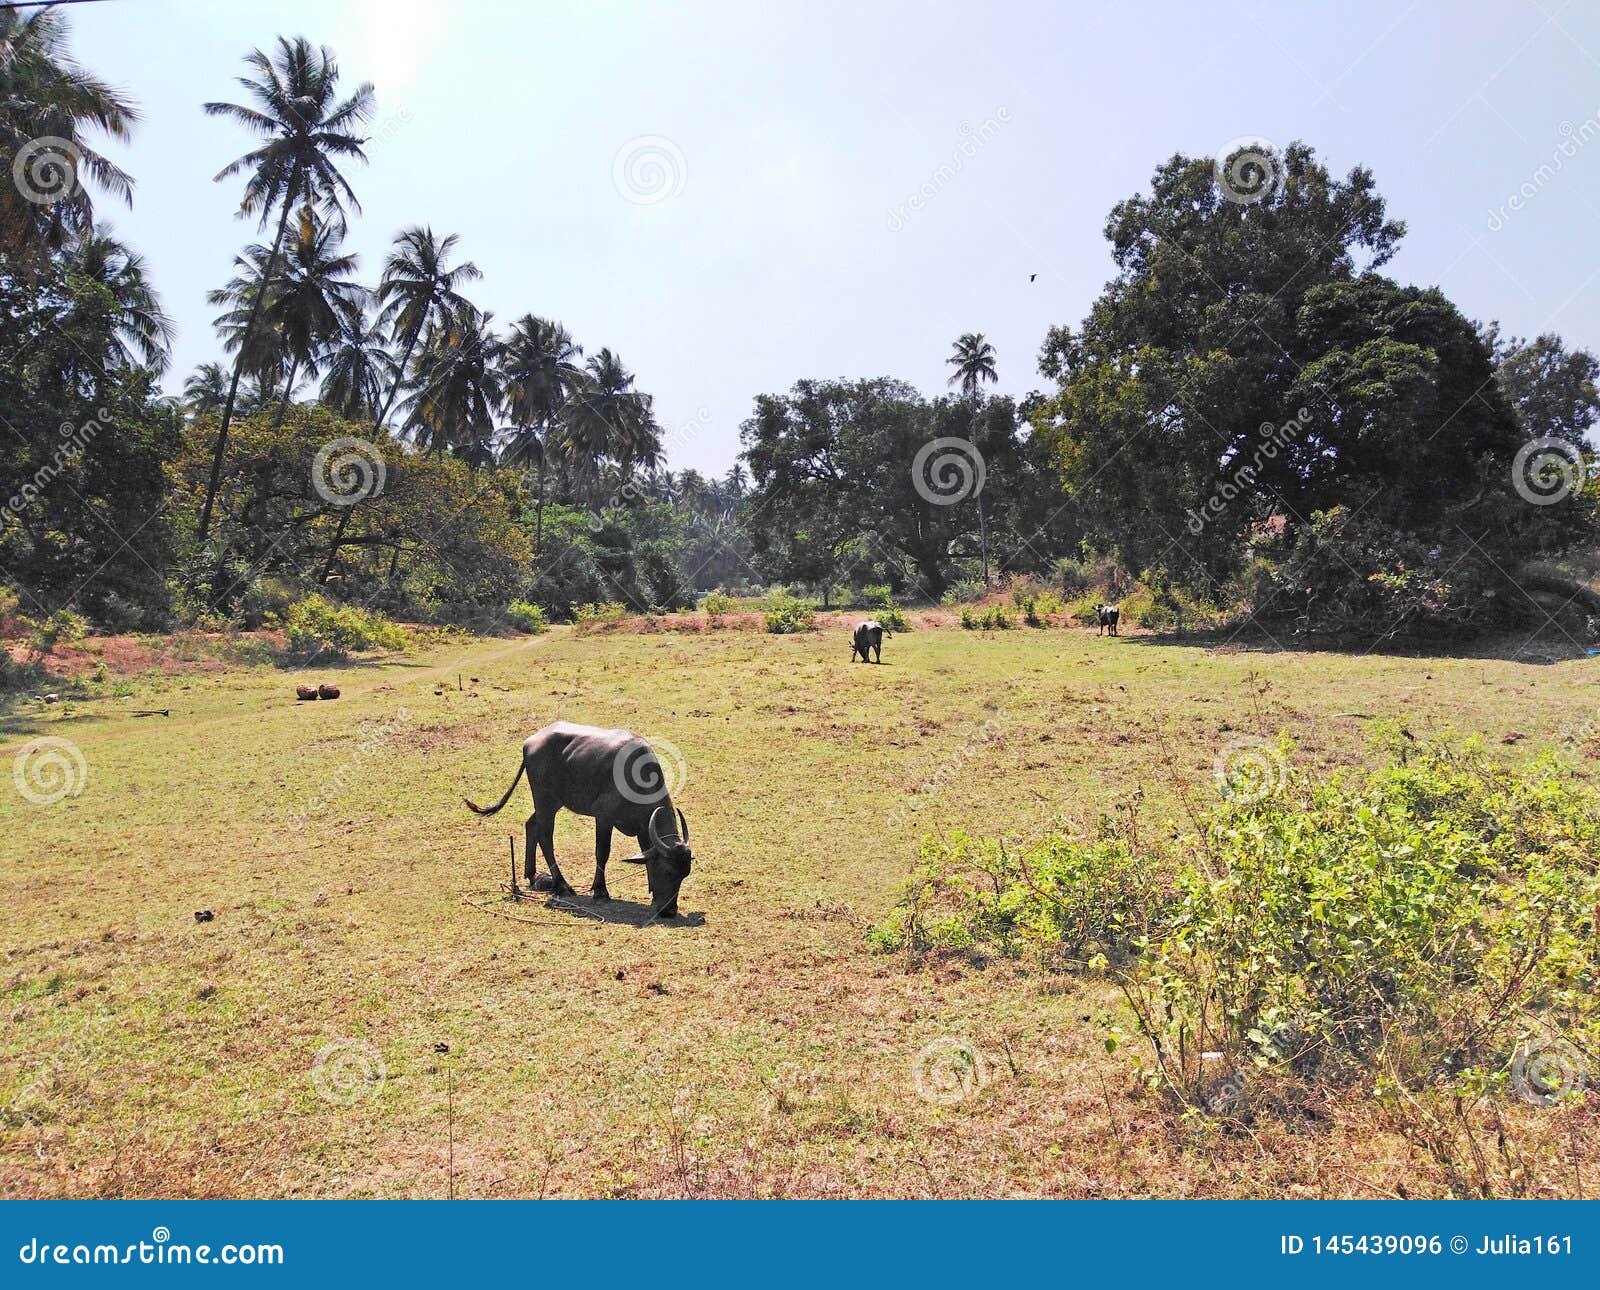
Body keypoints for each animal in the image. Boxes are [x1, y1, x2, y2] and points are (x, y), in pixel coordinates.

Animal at [464, 722, 693, 918]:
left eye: (684, 874)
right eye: (667, 871)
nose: (669, 911)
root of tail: (531, 741)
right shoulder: (604, 817)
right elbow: (602, 852)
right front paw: (600, 891)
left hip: (553, 802)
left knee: (531, 824)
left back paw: (531, 874)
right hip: (544, 799)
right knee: (545, 836)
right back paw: (562, 885)